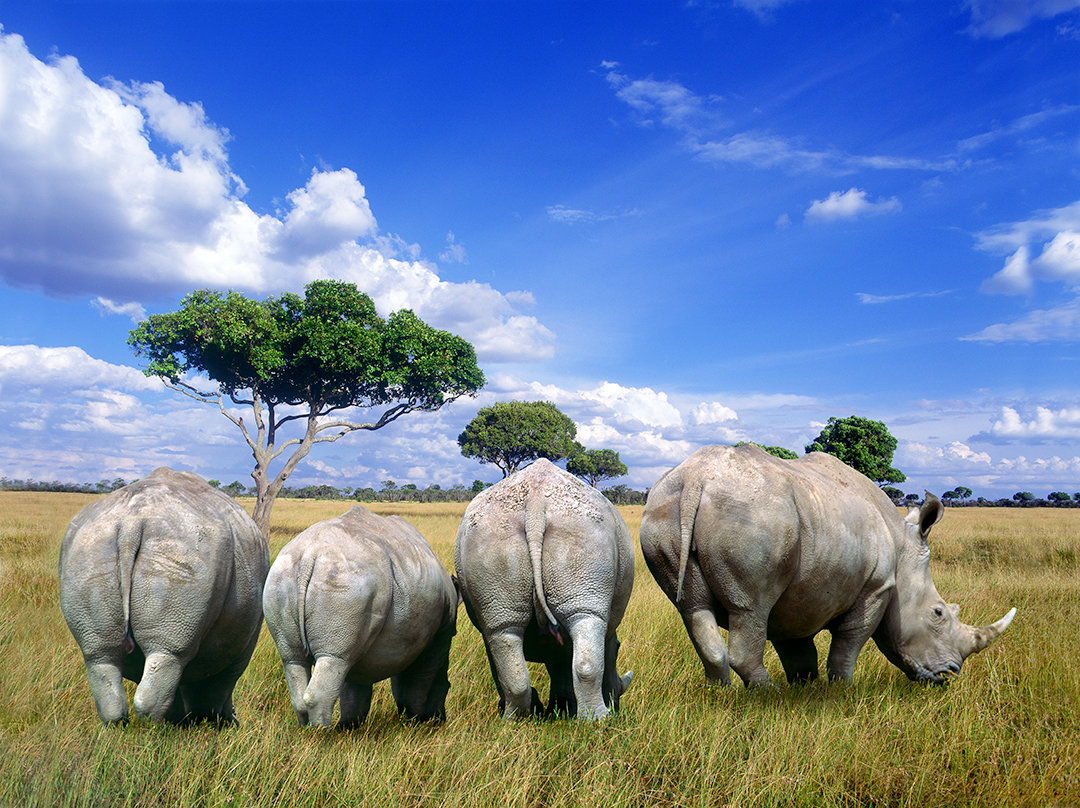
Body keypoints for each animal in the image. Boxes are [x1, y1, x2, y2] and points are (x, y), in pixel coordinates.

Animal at [58, 468, 269, 725]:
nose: (235, 720)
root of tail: (131, 521)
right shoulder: (244, 643)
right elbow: (221, 684)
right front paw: (215, 721)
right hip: (184, 552)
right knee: (169, 654)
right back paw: (158, 729)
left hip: (89, 553)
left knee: (100, 655)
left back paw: (122, 725)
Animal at [262, 505, 458, 727]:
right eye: (448, 687)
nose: (440, 718)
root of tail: (309, 555)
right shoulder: (441, 633)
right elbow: (422, 679)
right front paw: (417, 721)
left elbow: (355, 687)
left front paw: (350, 726)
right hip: (347, 581)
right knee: (333, 659)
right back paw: (320, 733)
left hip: (283, 578)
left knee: (294, 659)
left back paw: (305, 730)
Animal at [454, 459, 634, 720]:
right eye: (620, 649)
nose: (618, 697)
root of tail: (536, 502)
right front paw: (564, 709)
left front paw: (559, 709)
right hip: (580, 529)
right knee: (585, 618)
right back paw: (599, 721)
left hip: (494, 537)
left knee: (503, 630)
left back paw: (513, 721)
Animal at [640, 444, 1015, 687]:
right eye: (938, 613)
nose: (949, 674)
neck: (901, 546)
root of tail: (696, 479)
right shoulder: (877, 587)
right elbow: (849, 644)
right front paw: (839, 690)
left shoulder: (798, 598)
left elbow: (798, 650)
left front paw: (804, 686)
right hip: (753, 514)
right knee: (751, 607)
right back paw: (765, 695)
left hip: (665, 509)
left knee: (693, 608)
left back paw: (720, 694)